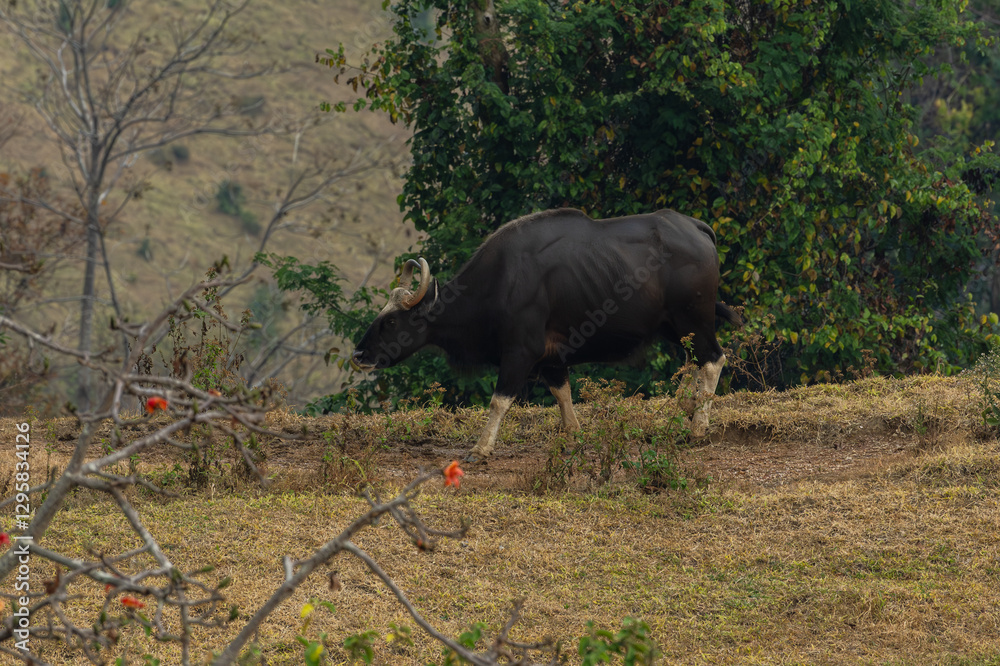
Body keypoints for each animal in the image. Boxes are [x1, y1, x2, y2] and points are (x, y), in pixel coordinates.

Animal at [351, 208, 742, 461]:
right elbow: (562, 394)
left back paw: (697, 428)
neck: (500, 283)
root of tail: (695, 227)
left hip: (693, 319)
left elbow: (499, 401)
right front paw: (573, 437)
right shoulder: (552, 358)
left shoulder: (520, 353)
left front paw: (480, 448)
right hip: (674, 327)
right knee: (694, 358)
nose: (358, 356)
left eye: (391, 323)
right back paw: (685, 407)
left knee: (713, 358)